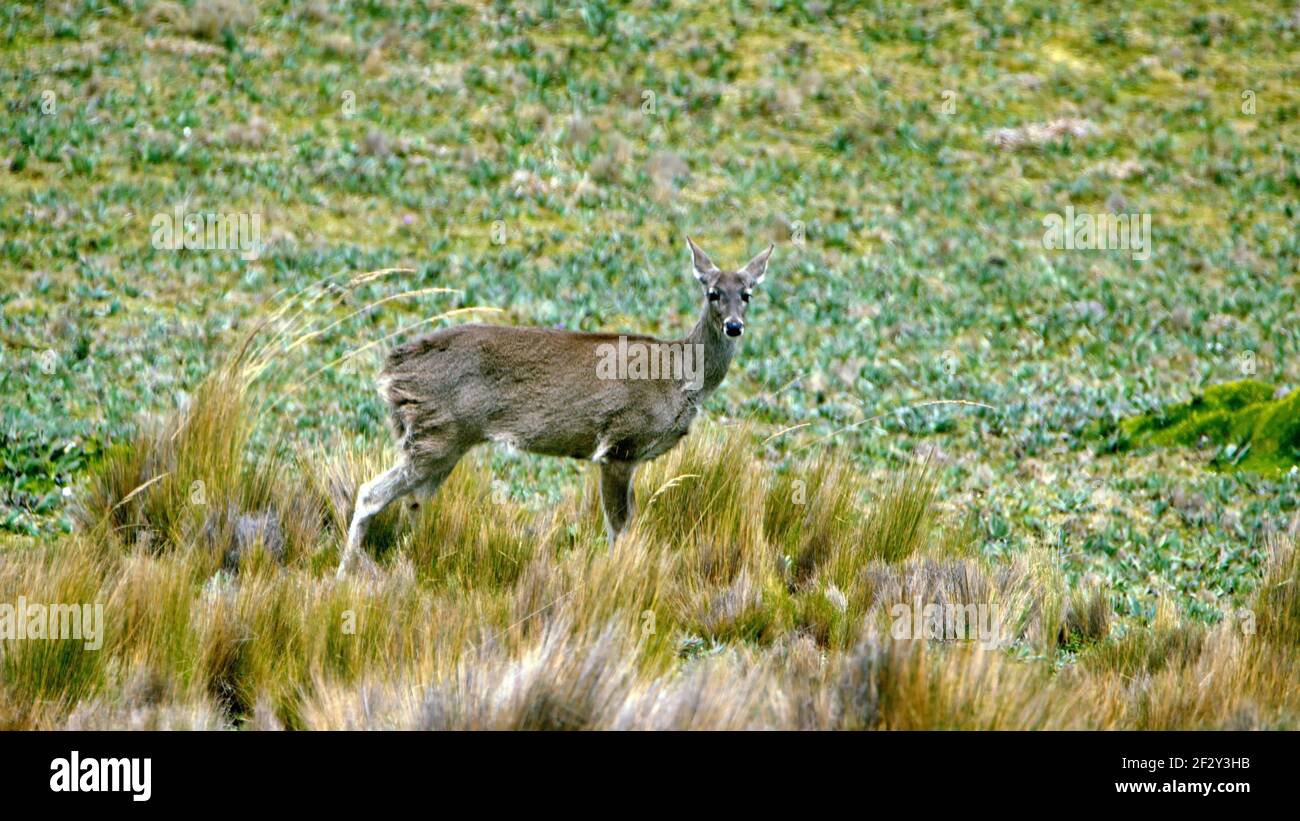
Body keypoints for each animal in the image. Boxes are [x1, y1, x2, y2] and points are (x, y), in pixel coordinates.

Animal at [336, 237, 774, 577]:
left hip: (443, 440)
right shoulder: (619, 445)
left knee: (413, 502)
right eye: (712, 292)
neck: (678, 378)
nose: (734, 326)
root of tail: (392, 367)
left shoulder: (631, 457)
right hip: (437, 434)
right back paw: (345, 572)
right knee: (371, 493)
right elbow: (619, 528)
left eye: (747, 293)